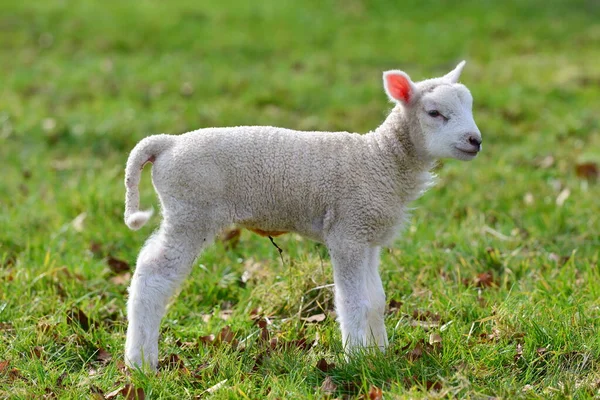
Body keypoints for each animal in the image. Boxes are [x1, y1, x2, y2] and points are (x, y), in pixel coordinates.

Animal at [122, 61, 482, 370]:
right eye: (434, 113)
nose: (475, 141)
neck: (381, 159)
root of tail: (167, 144)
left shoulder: (368, 235)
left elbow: (376, 300)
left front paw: (379, 354)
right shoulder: (348, 232)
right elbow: (353, 302)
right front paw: (356, 359)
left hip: (184, 211)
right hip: (191, 210)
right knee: (152, 276)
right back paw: (141, 363)